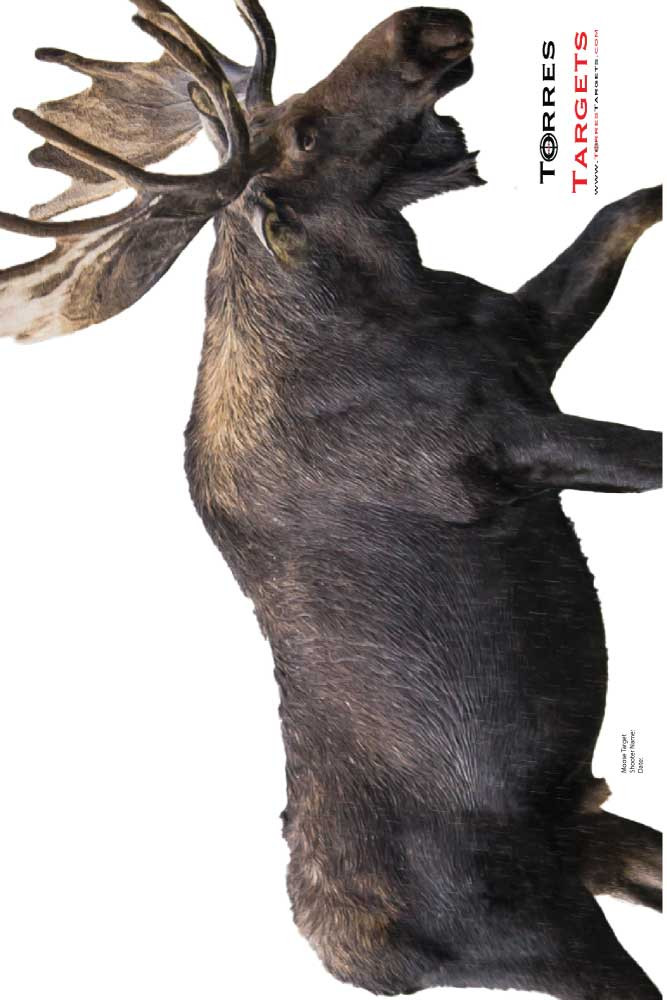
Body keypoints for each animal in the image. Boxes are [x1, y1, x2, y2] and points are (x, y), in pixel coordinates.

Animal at [0, 2, 662, 997]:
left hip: (597, 839)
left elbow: (624, 205)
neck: (382, 296)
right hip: (554, 931)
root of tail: (365, 959)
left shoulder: (527, 337)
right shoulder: (507, 447)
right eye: (309, 133)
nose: (422, 26)